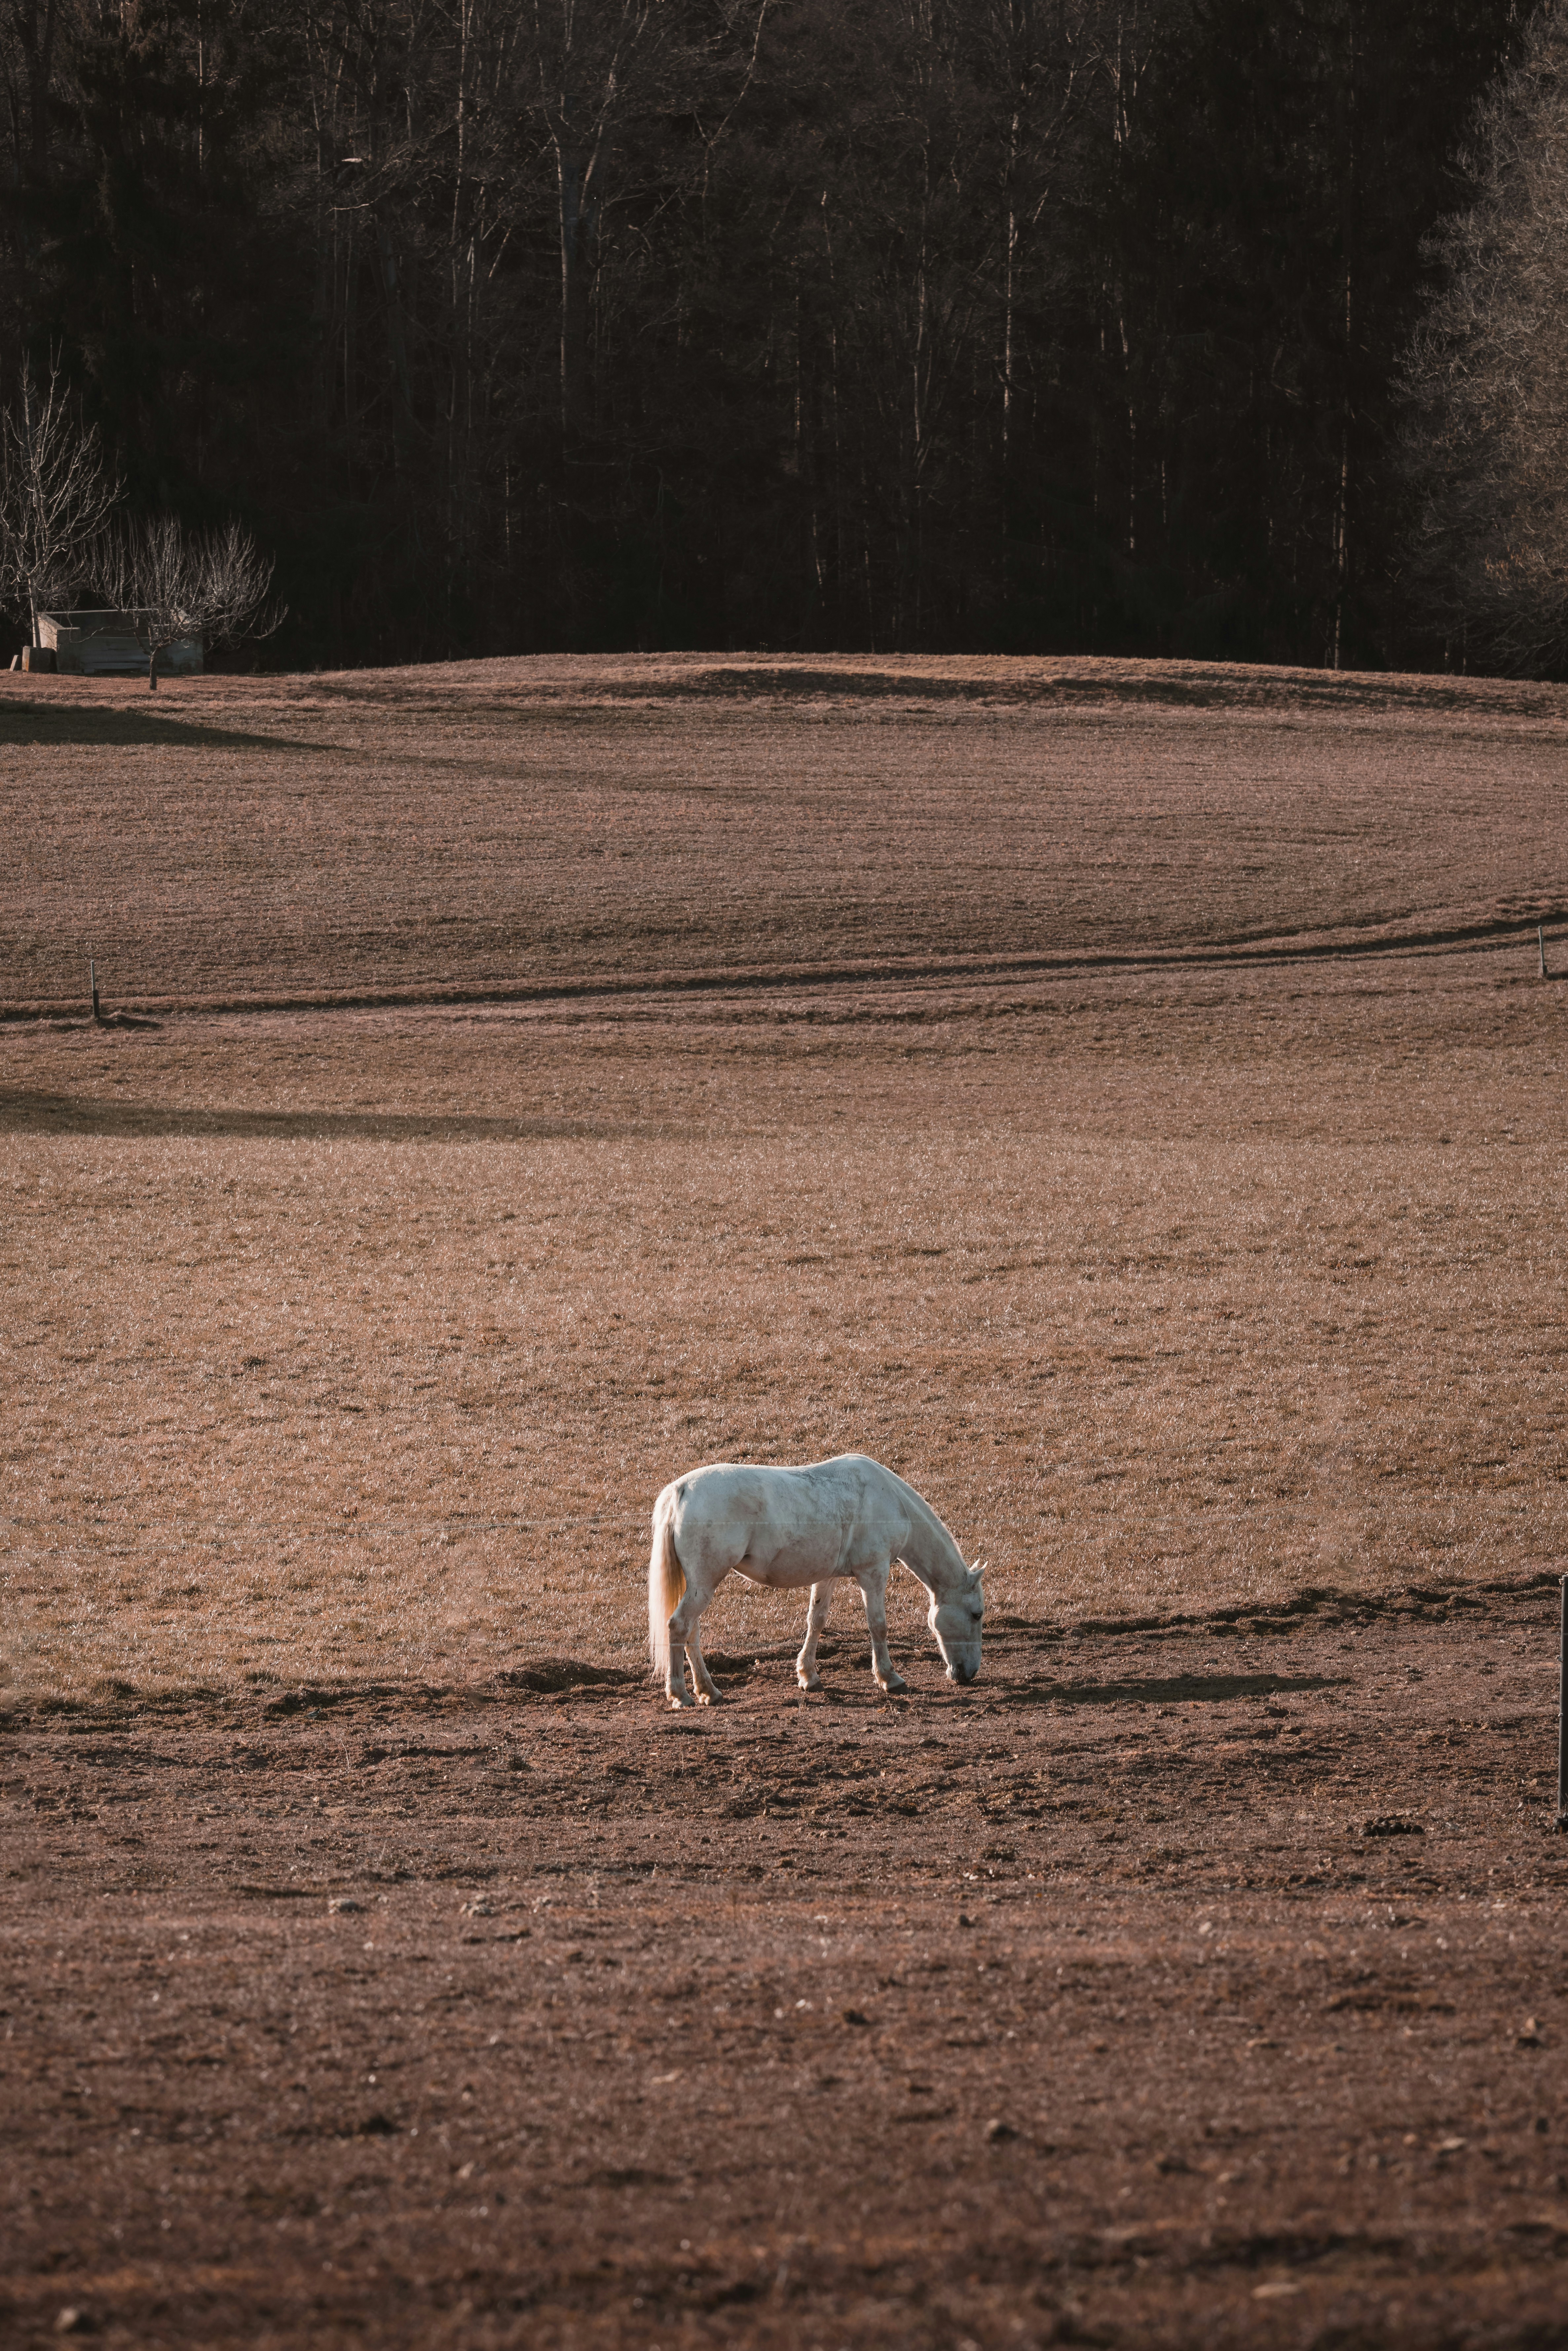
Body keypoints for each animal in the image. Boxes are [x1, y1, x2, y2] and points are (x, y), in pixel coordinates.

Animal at [647, 1452, 985, 1708]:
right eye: (976, 1614)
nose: (968, 1674)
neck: (889, 1499)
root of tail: (681, 1489)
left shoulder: (828, 1577)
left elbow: (817, 1620)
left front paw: (808, 1676)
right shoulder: (873, 1573)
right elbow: (878, 1625)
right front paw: (890, 1679)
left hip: (698, 1585)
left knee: (691, 1632)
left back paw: (709, 1691)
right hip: (705, 1584)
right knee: (679, 1626)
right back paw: (680, 1695)